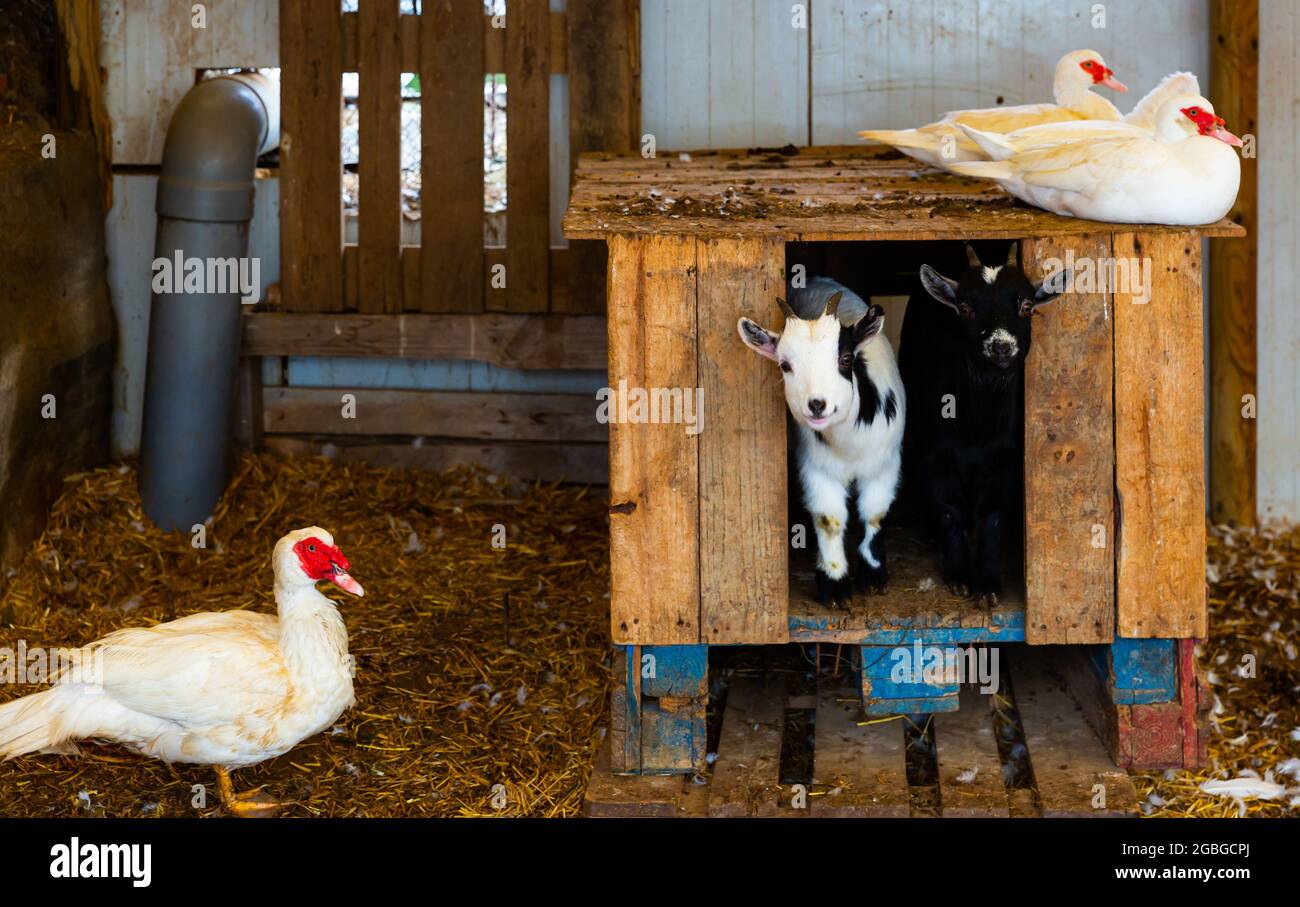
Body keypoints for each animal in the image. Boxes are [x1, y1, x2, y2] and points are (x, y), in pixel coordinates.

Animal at [738, 277, 905, 607]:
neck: (849, 443)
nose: (817, 404)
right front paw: (834, 584)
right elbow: (830, 519)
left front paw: (873, 574)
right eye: (784, 365)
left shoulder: (886, 463)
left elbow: (875, 513)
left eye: (845, 358)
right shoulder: (816, 468)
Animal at [898, 245, 1068, 606]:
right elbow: (950, 508)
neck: (977, 424)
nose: (1001, 346)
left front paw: (988, 584)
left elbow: (992, 513)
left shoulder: (1005, 455)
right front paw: (959, 575)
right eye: (965, 308)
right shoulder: (937, 452)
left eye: (1026, 306)